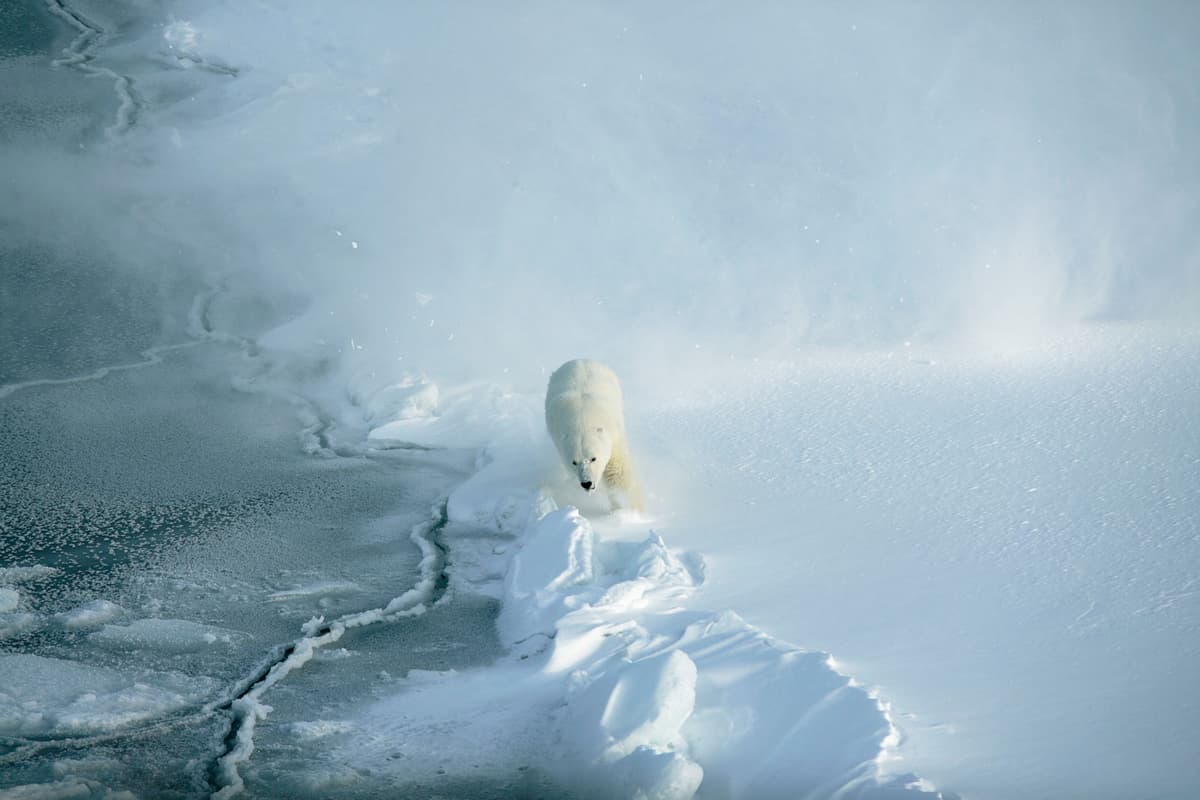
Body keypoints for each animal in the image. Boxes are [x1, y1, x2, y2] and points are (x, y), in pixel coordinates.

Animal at [545, 359, 645, 512]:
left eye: (593, 458)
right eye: (574, 462)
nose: (587, 483)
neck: (581, 419)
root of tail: (579, 359)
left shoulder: (613, 432)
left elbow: (617, 471)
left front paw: (633, 508)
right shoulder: (558, 436)